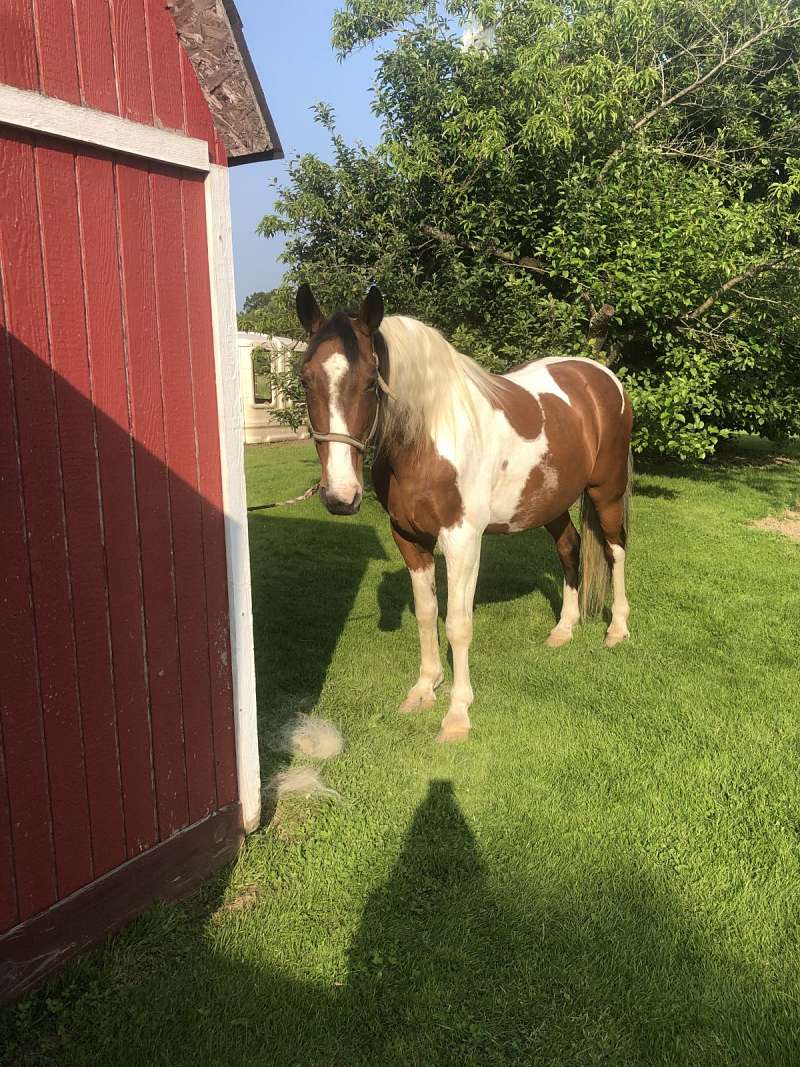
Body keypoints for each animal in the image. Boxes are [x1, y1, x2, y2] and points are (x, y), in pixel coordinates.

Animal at [295, 283, 633, 742]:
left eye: (370, 381)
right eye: (305, 378)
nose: (340, 496)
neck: (428, 438)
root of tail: (601, 377)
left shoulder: (461, 541)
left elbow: (457, 622)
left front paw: (457, 714)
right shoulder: (408, 538)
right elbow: (426, 614)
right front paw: (424, 688)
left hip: (606, 492)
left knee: (615, 551)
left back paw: (617, 629)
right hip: (552, 502)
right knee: (570, 548)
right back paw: (564, 629)